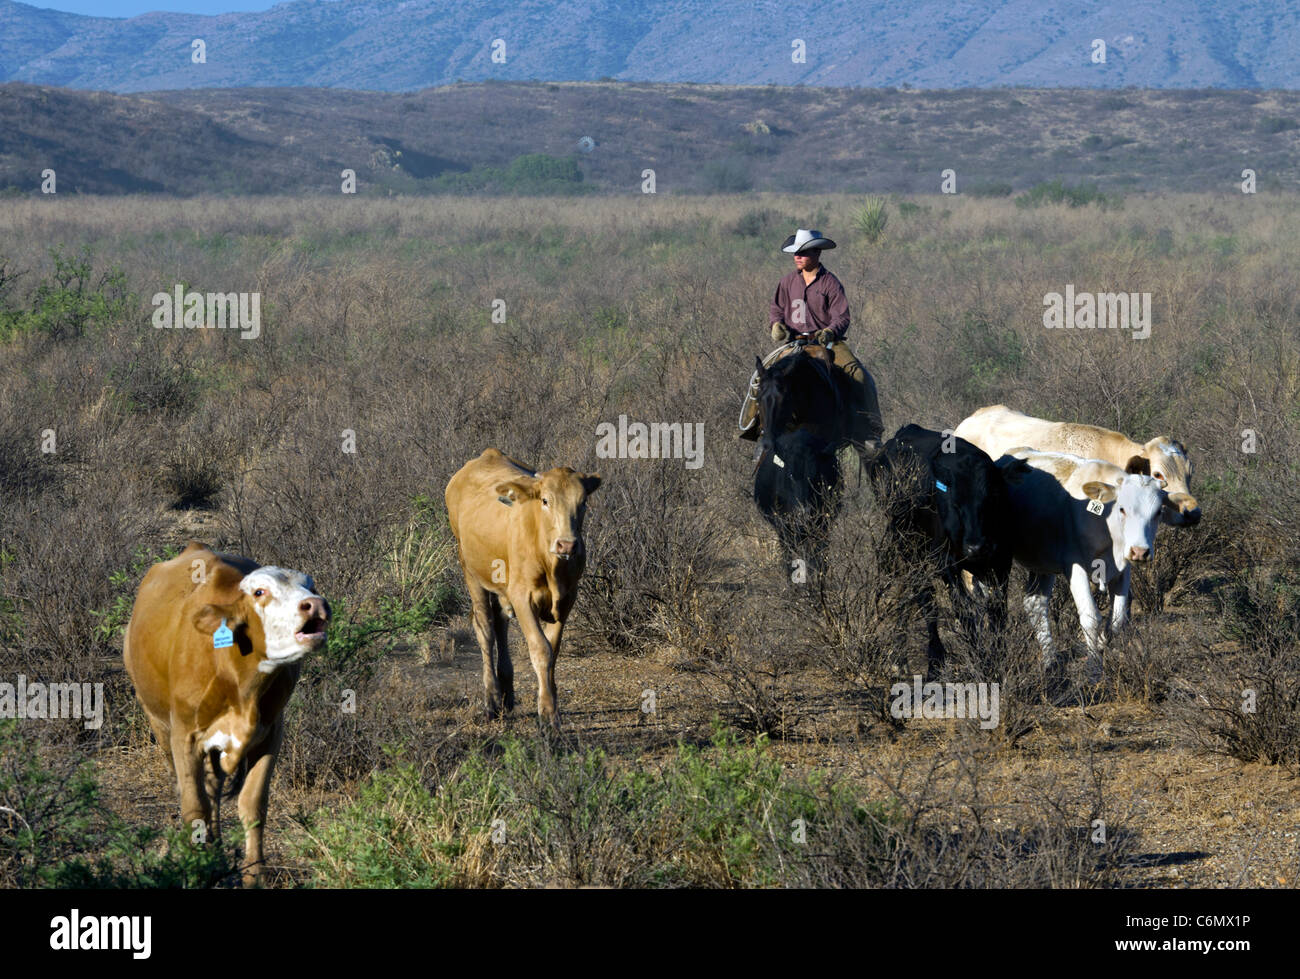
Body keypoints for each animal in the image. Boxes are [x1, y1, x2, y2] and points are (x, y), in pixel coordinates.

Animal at [123, 542, 330, 885]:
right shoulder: (184, 735)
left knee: (213, 790)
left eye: (310, 586)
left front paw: (254, 874)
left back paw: (217, 851)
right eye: (260, 591)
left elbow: (252, 805)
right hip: (157, 720)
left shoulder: (270, 734)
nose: (316, 605)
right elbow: (193, 807)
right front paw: (196, 869)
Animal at [445, 448, 601, 729]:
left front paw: (551, 705)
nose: (567, 545)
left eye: (583, 502)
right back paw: (492, 699)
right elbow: (540, 648)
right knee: (485, 630)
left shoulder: (567, 600)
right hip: (470, 570)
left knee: (500, 625)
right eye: (545, 500)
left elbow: (553, 650)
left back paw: (506, 693)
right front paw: (548, 715)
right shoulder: (522, 598)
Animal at [754, 427, 841, 578]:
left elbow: (818, 559)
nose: (803, 511)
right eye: (790, 475)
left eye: (814, 475)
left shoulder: (822, 525)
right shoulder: (783, 526)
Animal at [868, 424, 1016, 677]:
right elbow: (964, 611)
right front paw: (982, 663)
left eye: (991, 500)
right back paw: (930, 660)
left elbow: (997, 614)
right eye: (955, 503)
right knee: (925, 597)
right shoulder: (946, 564)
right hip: (909, 546)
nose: (975, 547)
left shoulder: (1001, 564)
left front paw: (998, 663)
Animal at [993, 448, 1168, 680]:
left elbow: (1117, 620)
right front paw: (1093, 669)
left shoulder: (1123, 571)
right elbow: (1091, 618)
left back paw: (1051, 661)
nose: (1140, 551)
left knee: (1035, 604)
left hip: (1042, 566)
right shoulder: (1075, 568)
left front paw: (1102, 643)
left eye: (1158, 512)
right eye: (1122, 509)